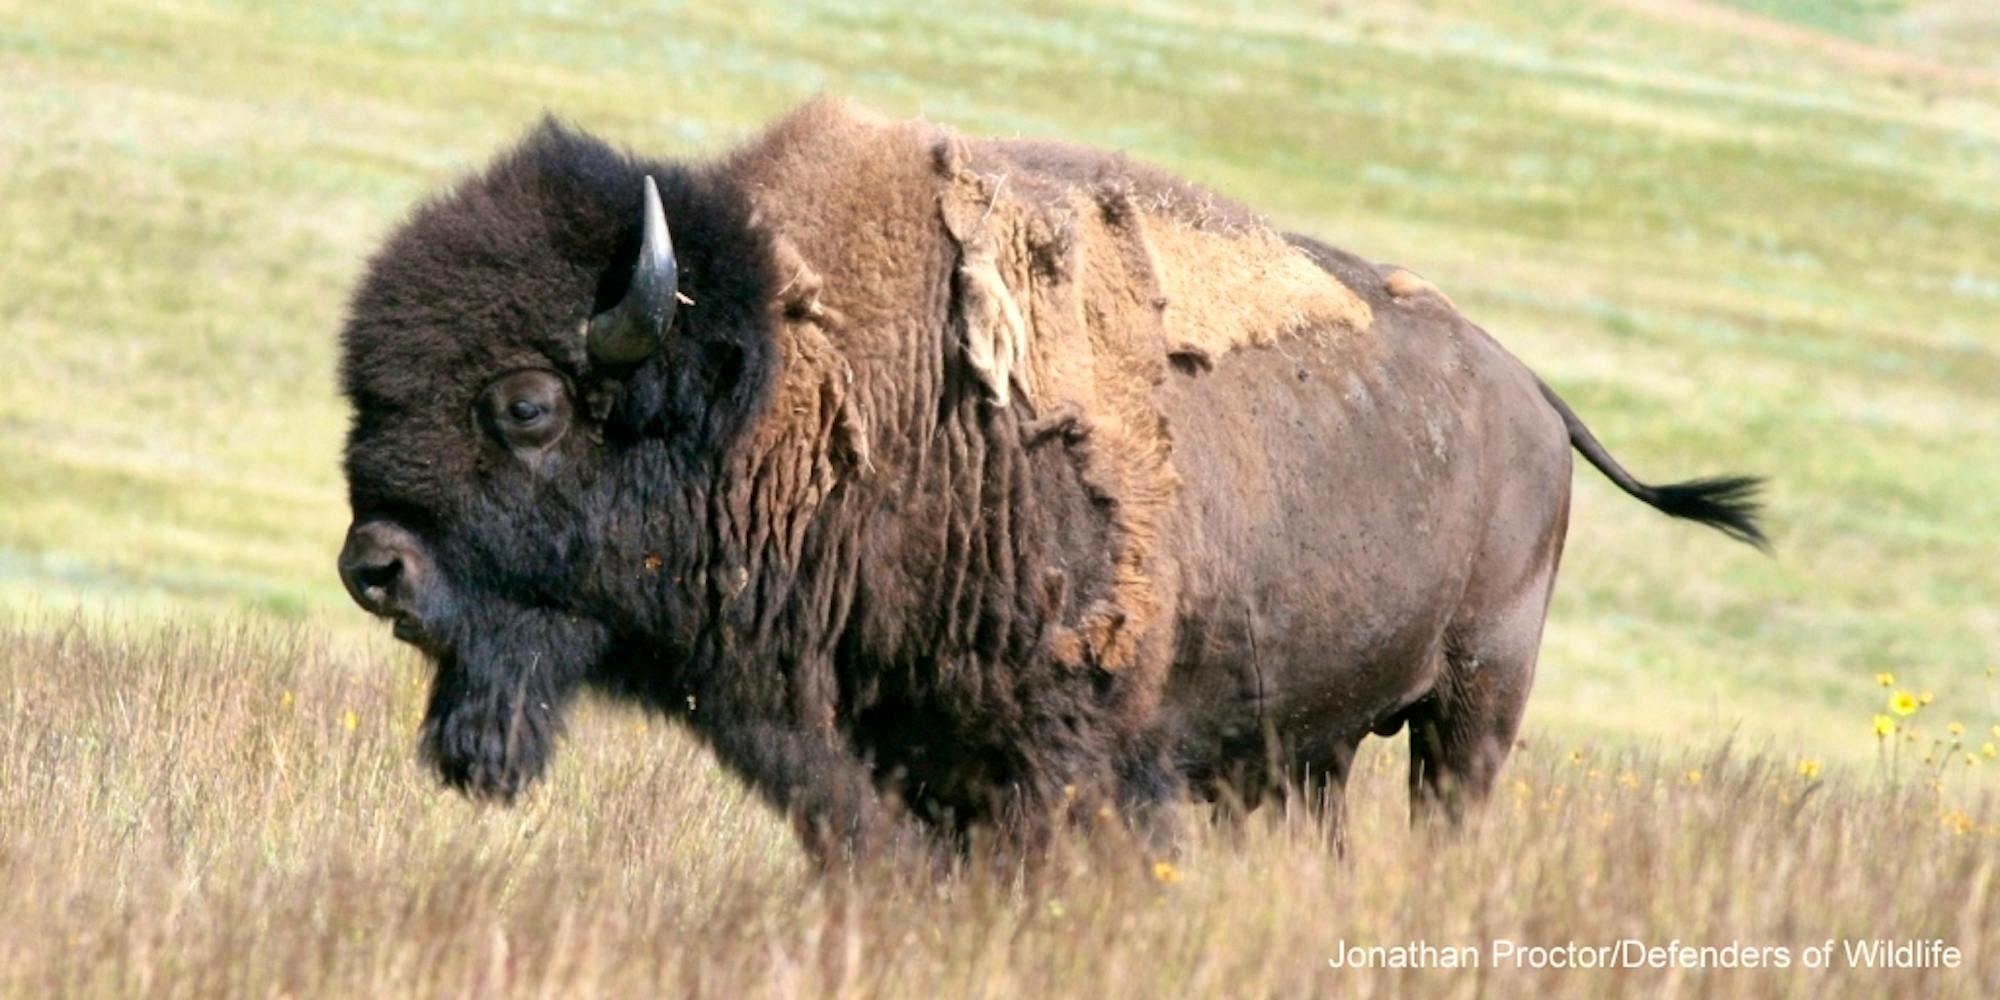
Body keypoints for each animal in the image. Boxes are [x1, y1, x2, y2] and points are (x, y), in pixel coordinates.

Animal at [337, 98, 1763, 863]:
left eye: (525, 406)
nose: (373, 566)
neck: (801, 387)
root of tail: (1530, 396)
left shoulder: (1068, 755)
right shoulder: (855, 756)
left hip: (1473, 703)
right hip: (1316, 740)